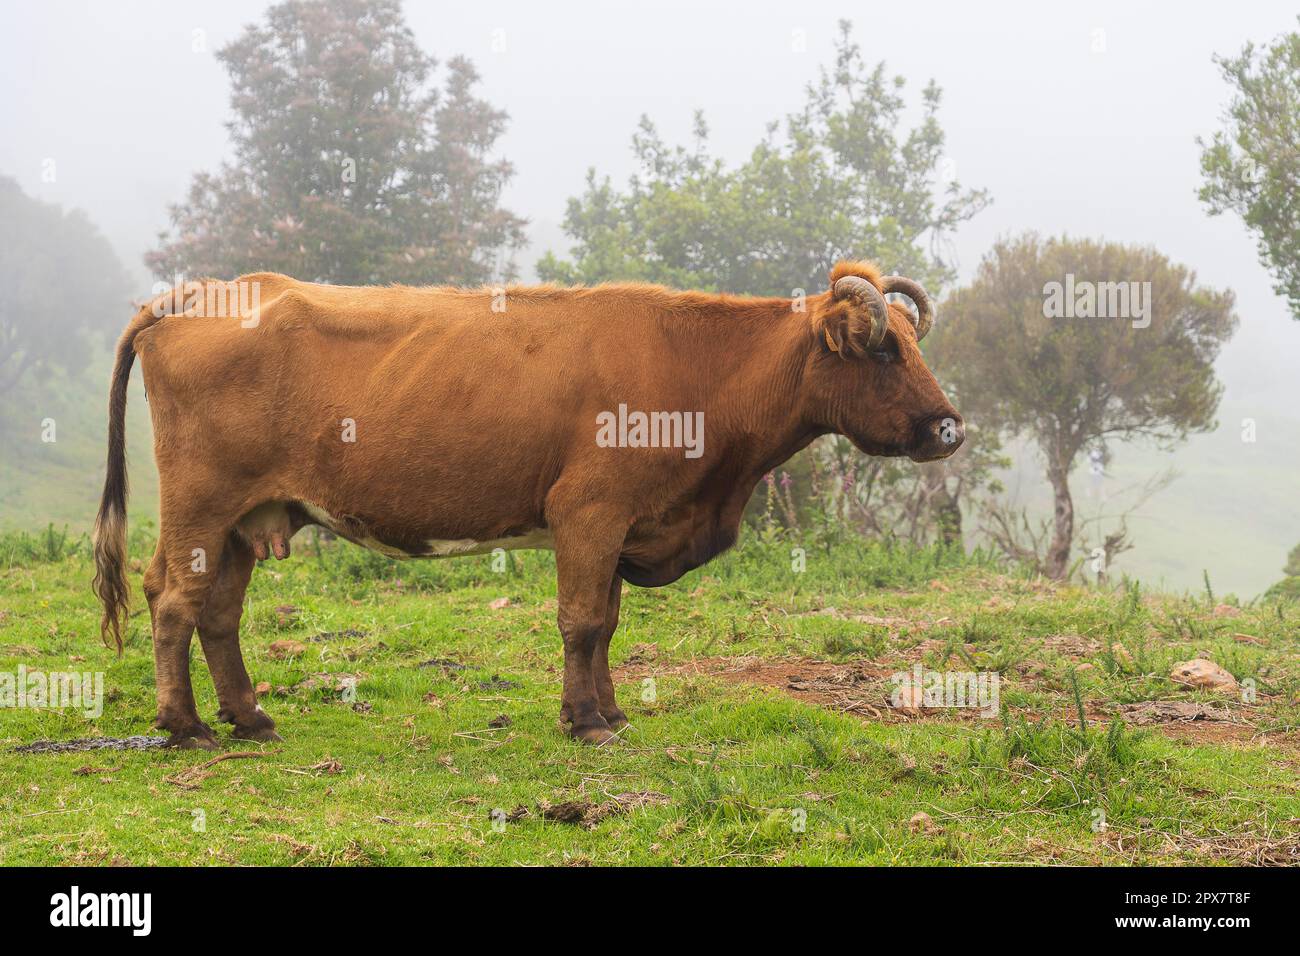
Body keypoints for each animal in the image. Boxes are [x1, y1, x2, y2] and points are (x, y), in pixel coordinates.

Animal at [92, 260, 964, 748]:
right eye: (884, 350)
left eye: (911, 344)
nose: (949, 427)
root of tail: (199, 293)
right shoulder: (590, 511)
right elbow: (580, 623)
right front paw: (586, 723)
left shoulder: (618, 527)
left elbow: (606, 624)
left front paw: (608, 711)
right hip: (203, 505)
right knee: (174, 601)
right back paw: (185, 726)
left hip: (245, 520)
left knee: (216, 611)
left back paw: (249, 717)